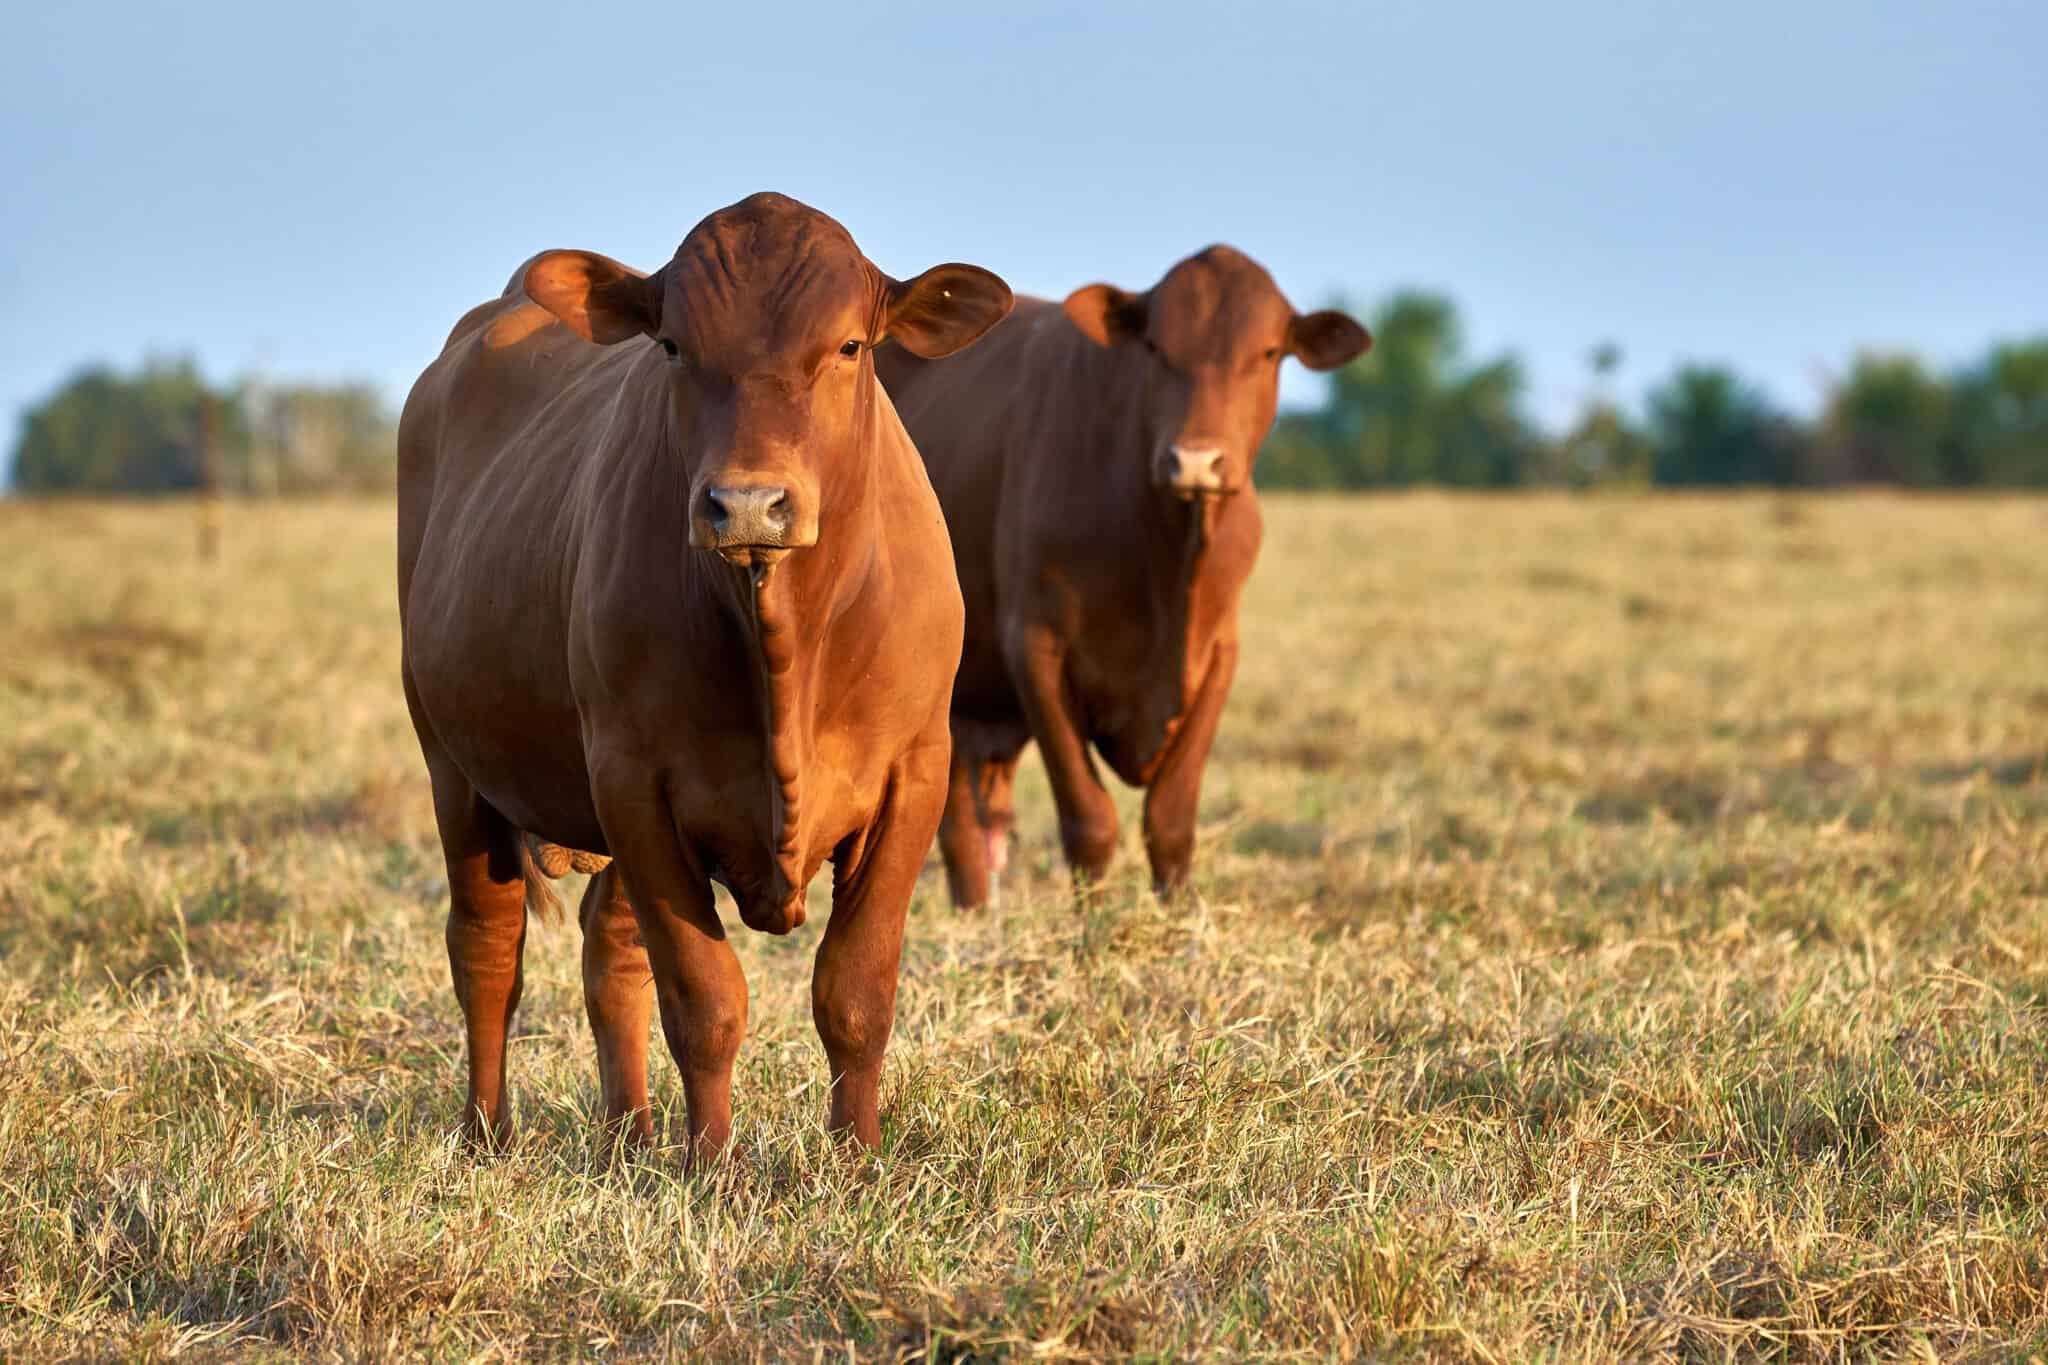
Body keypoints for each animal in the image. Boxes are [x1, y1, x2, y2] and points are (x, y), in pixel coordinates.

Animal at [397, 192, 1011, 1156]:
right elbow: (705, 998)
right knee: (487, 948)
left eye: (850, 346)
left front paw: (857, 1158)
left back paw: (631, 1134)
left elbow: (855, 991)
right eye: (674, 346)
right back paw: (489, 1132)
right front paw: (714, 1163)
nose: (748, 504)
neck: (784, 645)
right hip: (451, 764)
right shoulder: (635, 784)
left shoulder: (916, 770)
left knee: (608, 951)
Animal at [876, 247, 1368, 909]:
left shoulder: (1219, 655)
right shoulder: (1035, 646)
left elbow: (1171, 819)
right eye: (1156, 348)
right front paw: (1093, 920)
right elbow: (1089, 819)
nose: (1196, 461)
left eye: (1268, 353)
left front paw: (1176, 914)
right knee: (956, 825)